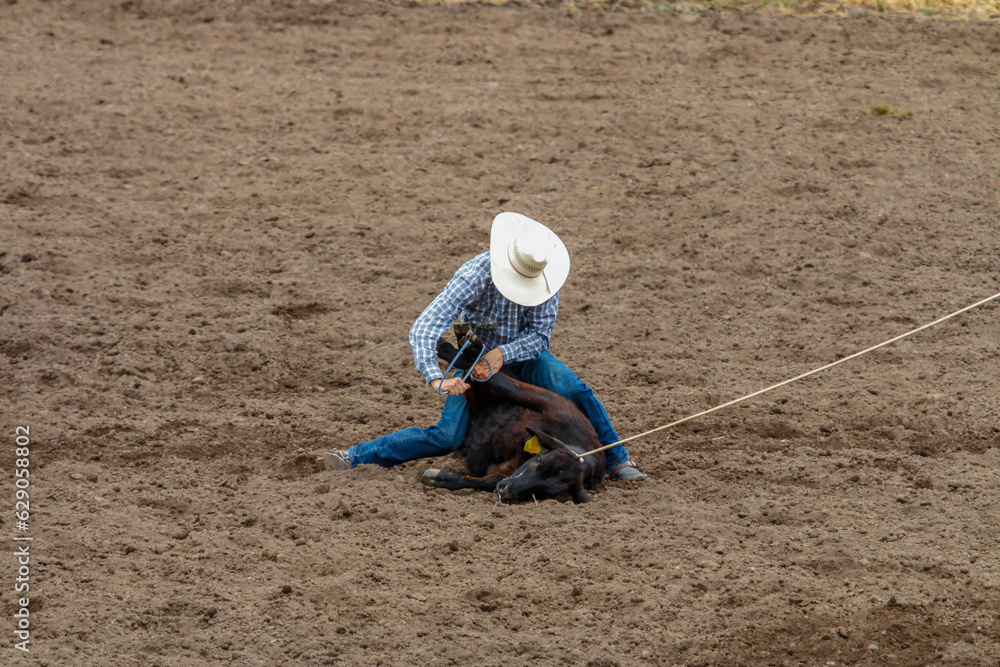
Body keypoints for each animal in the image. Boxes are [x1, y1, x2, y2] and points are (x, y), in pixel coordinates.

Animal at [421, 338, 606, 503]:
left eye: (545, 491)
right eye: (539, 461)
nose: (505, 490)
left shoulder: (505, 472)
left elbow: (489, 480)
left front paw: (439, 478)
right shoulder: (545, 400)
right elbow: (500, 382)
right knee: (481, 369)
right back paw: (455, 347)